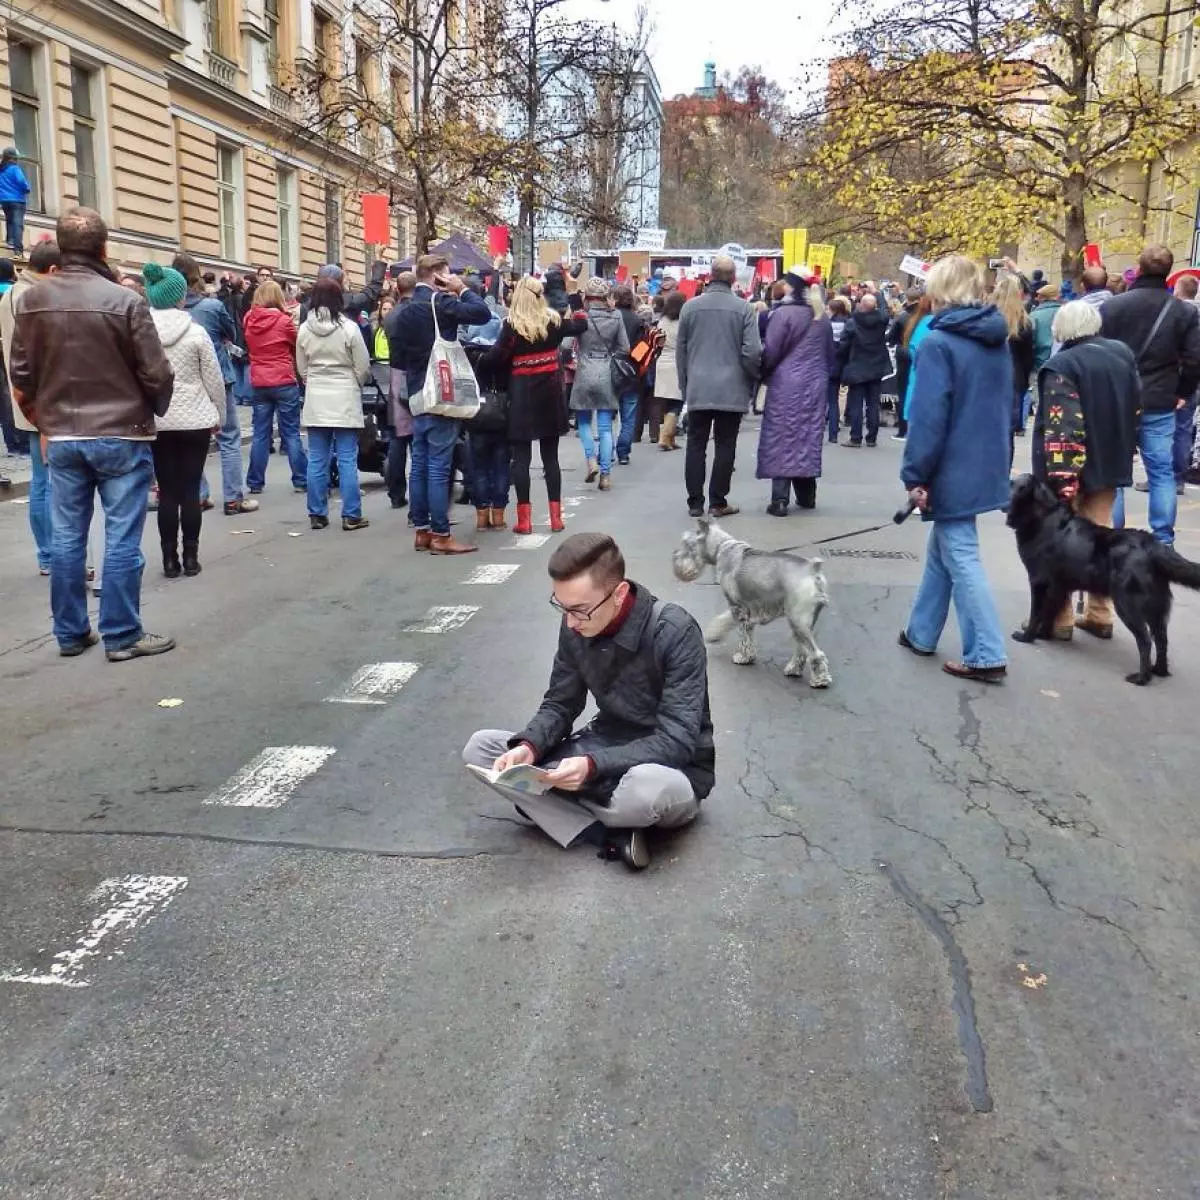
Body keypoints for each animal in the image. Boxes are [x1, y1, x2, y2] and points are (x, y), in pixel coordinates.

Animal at [676, 513, 835, 691]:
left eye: (687, 544)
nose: (676, 561)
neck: (721, 548)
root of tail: (813, 569)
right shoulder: (744, 608)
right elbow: (726, 621)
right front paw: (713, 635)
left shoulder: (737, 607)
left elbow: (743, 635)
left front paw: (743, 657)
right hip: (804, 622)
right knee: (802, 649)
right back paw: (793, 669)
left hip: (797, 619)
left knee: (815, 653)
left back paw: (820, 680)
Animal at [1003, 475, 1200, 686]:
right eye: (1009, 484)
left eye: (1021, 488)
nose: (1003, 502)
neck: (1041, 516)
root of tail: (1151, 545)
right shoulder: (1059, 587)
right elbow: (1050, 613)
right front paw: (1044, 634)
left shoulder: (1039, 582)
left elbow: (1036, 614)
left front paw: (1027, 636)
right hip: (1157, 608)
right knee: (1162, 639)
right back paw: (1159, 671)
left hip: (1127, 604)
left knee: (1145, 640)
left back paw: (1141, 678)